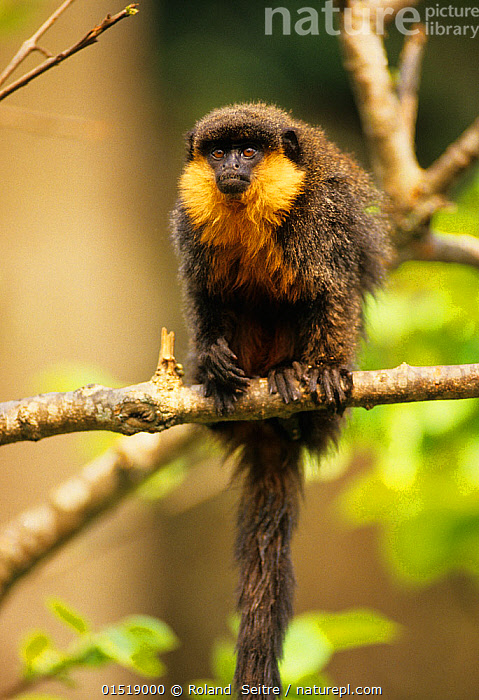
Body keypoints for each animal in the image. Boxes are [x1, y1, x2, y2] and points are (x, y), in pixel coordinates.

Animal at [170, 103, 391, 698]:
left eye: (248, 152)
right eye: (218, 153)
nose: (231, 167)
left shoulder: (320, 219)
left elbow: (332, 290)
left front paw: (325, 370)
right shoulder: (189, 228)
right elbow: (203, 296)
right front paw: (211, 361)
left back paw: (296, 388)